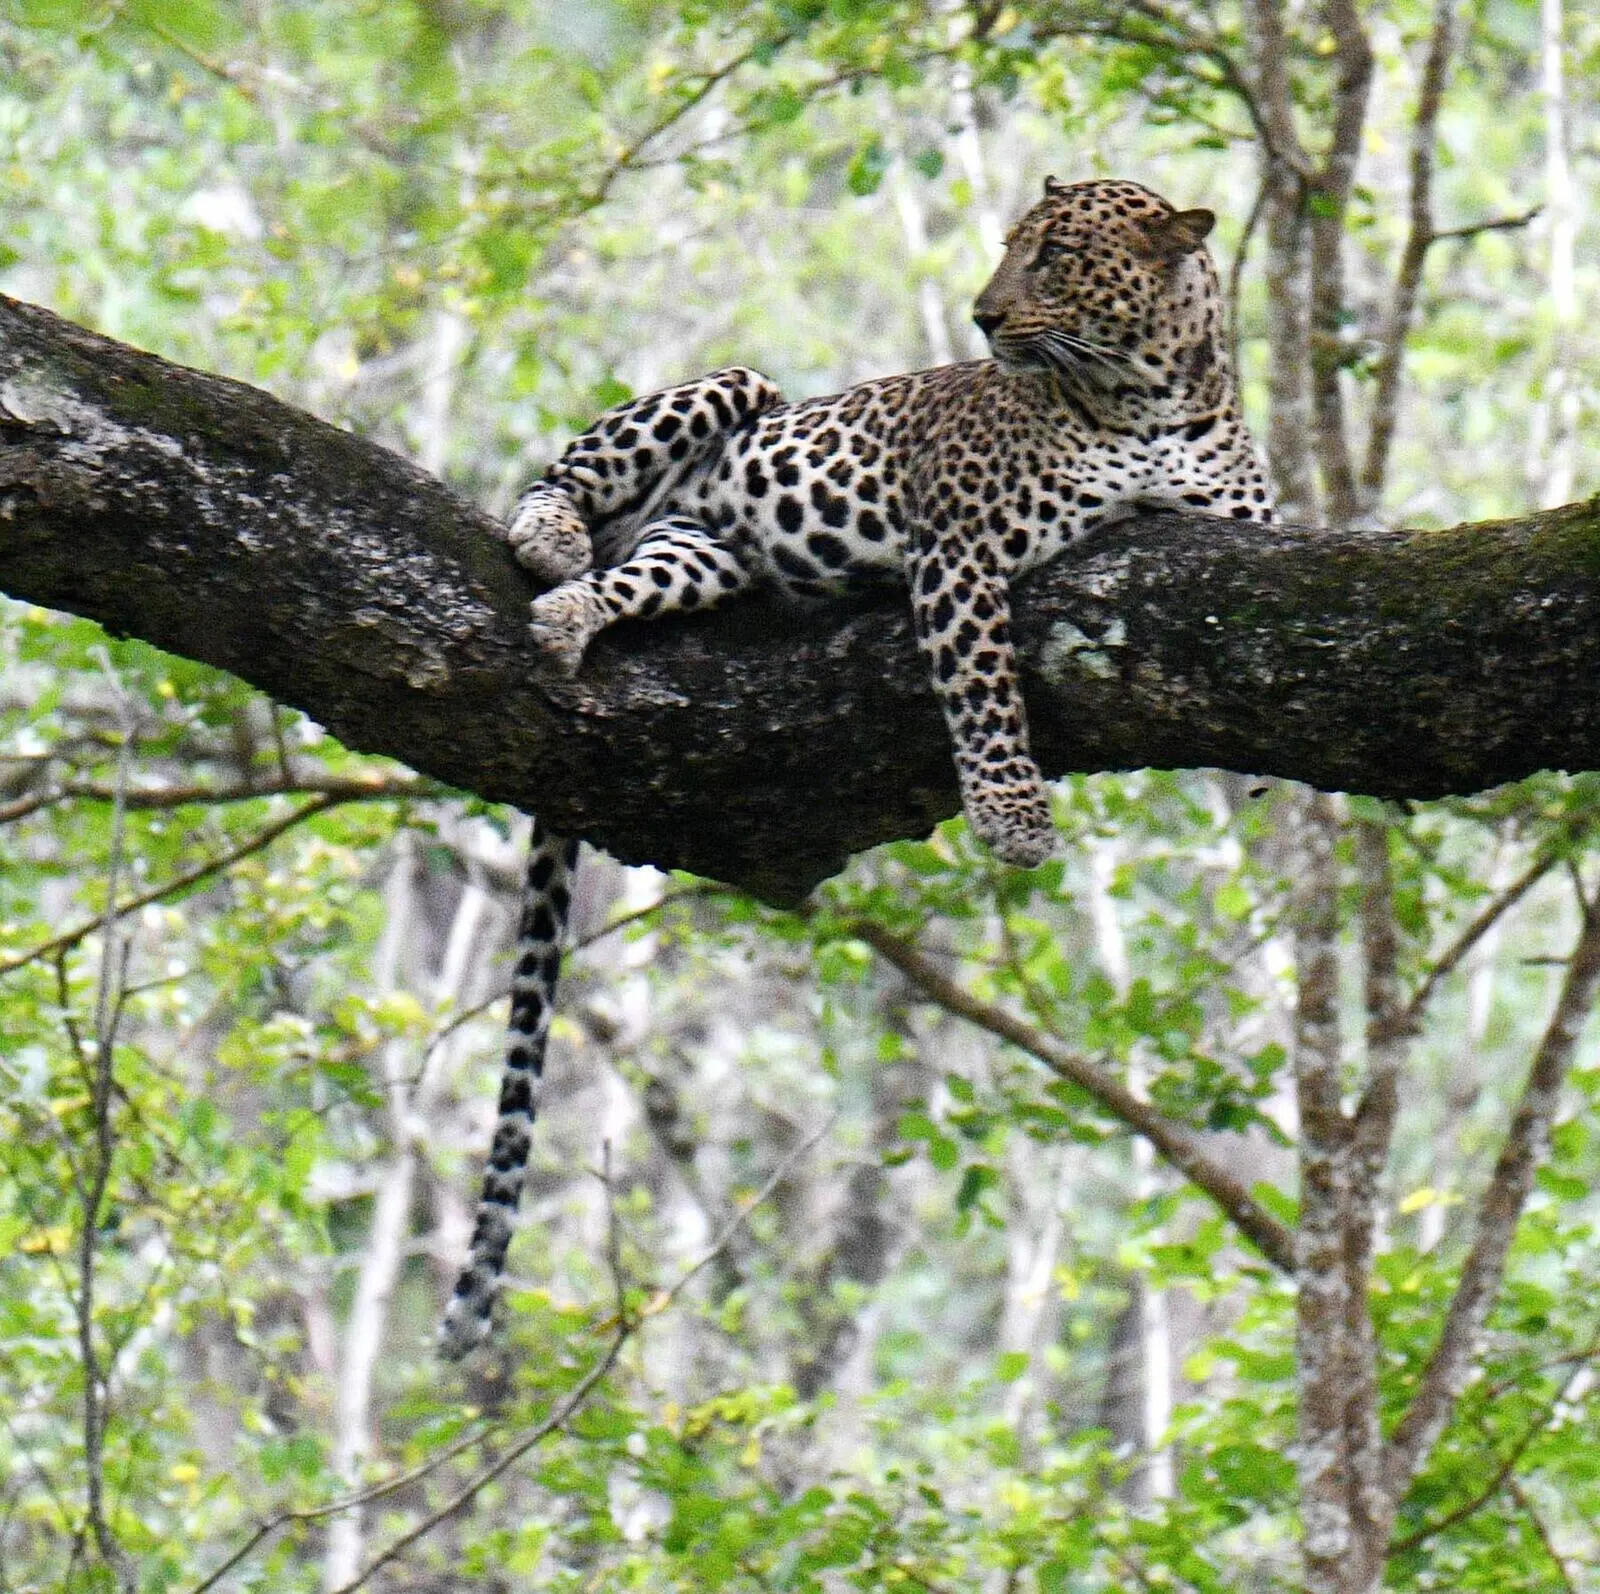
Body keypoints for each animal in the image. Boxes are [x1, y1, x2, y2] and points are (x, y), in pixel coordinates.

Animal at [438, 176, 1275, 1357]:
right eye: (1012, 248)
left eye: (1057, 256)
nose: (981, 315)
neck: (1152, 395)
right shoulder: (961, 548)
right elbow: (984, 693)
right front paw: (1014, 820)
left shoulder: (1248, 532)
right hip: (730, 388)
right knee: (562, 476)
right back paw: (550, 543)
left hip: (701, 554)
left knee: (627, 578)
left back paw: (568, 616)